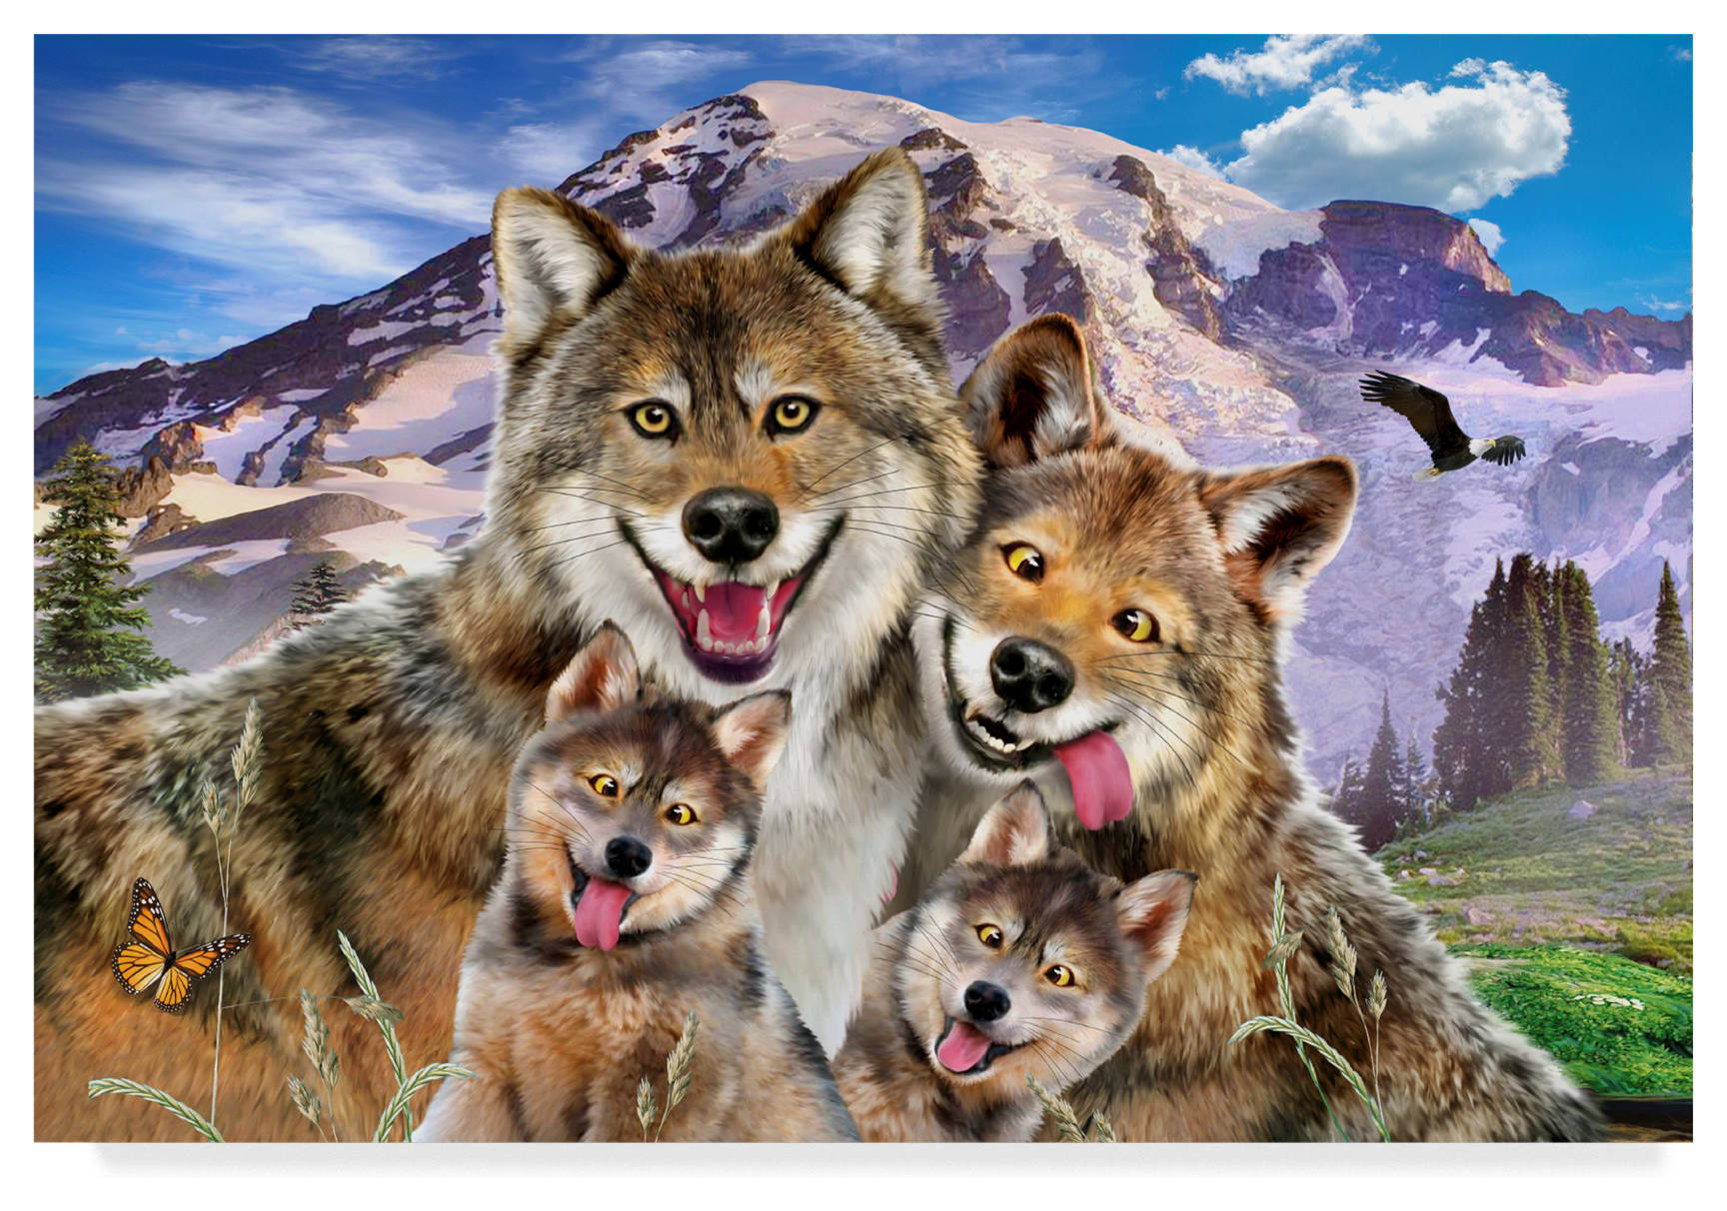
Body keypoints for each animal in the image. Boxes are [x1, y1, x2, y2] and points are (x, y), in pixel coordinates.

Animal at [417, 627, 856, 1142]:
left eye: (680, 814)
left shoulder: (650, 1096)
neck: (575, 967)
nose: (629, 855)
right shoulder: (480, 1069)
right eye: (606, 786)